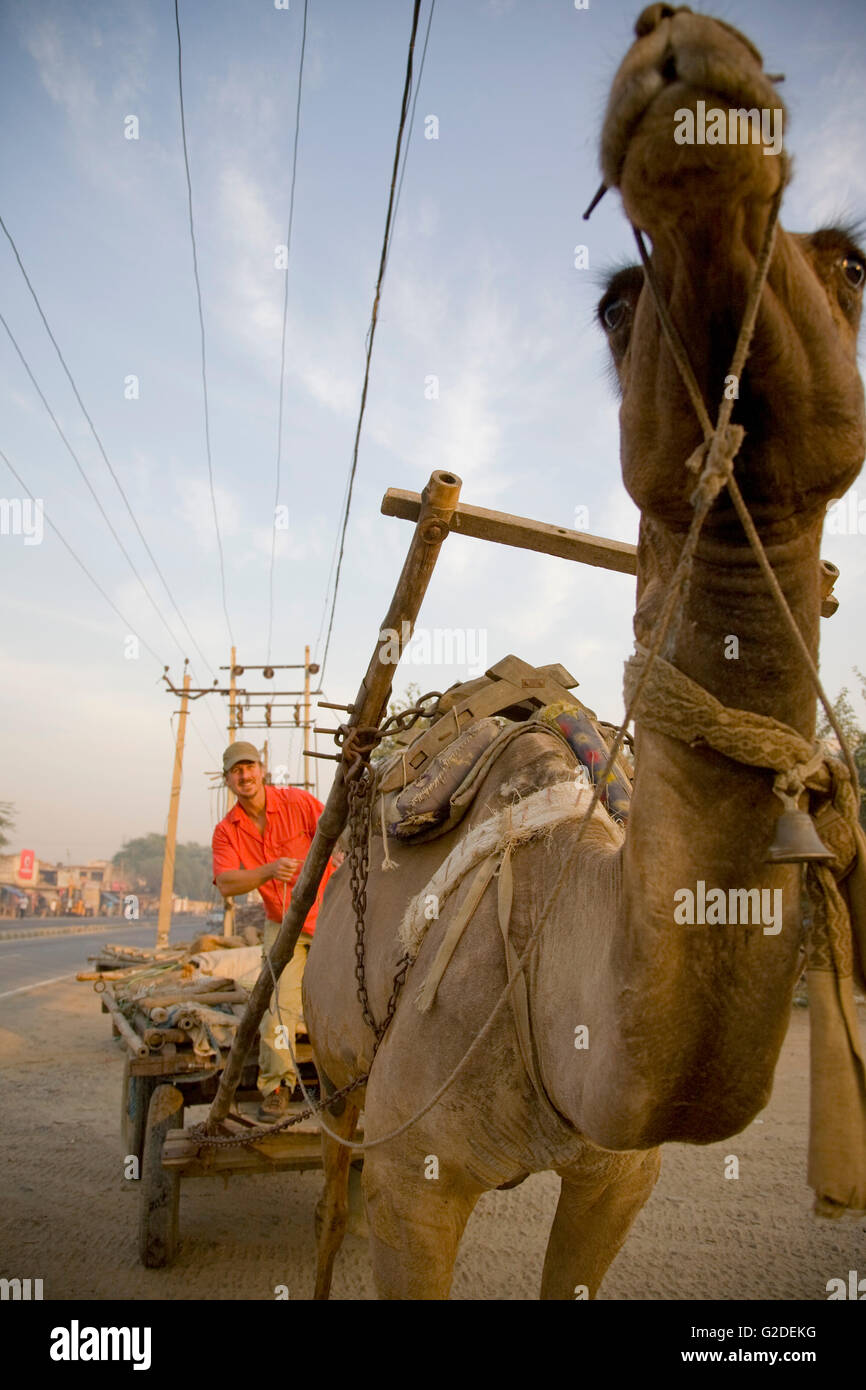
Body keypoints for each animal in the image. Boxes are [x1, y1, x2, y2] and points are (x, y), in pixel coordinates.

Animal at [302, 5, 866, 1299]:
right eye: (614, 302)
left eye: (856, 269)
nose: (690, 58)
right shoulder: (415, 1180)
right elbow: (389, 1203)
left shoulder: (617, 1173)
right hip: (342, 1061)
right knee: (327, 1179)